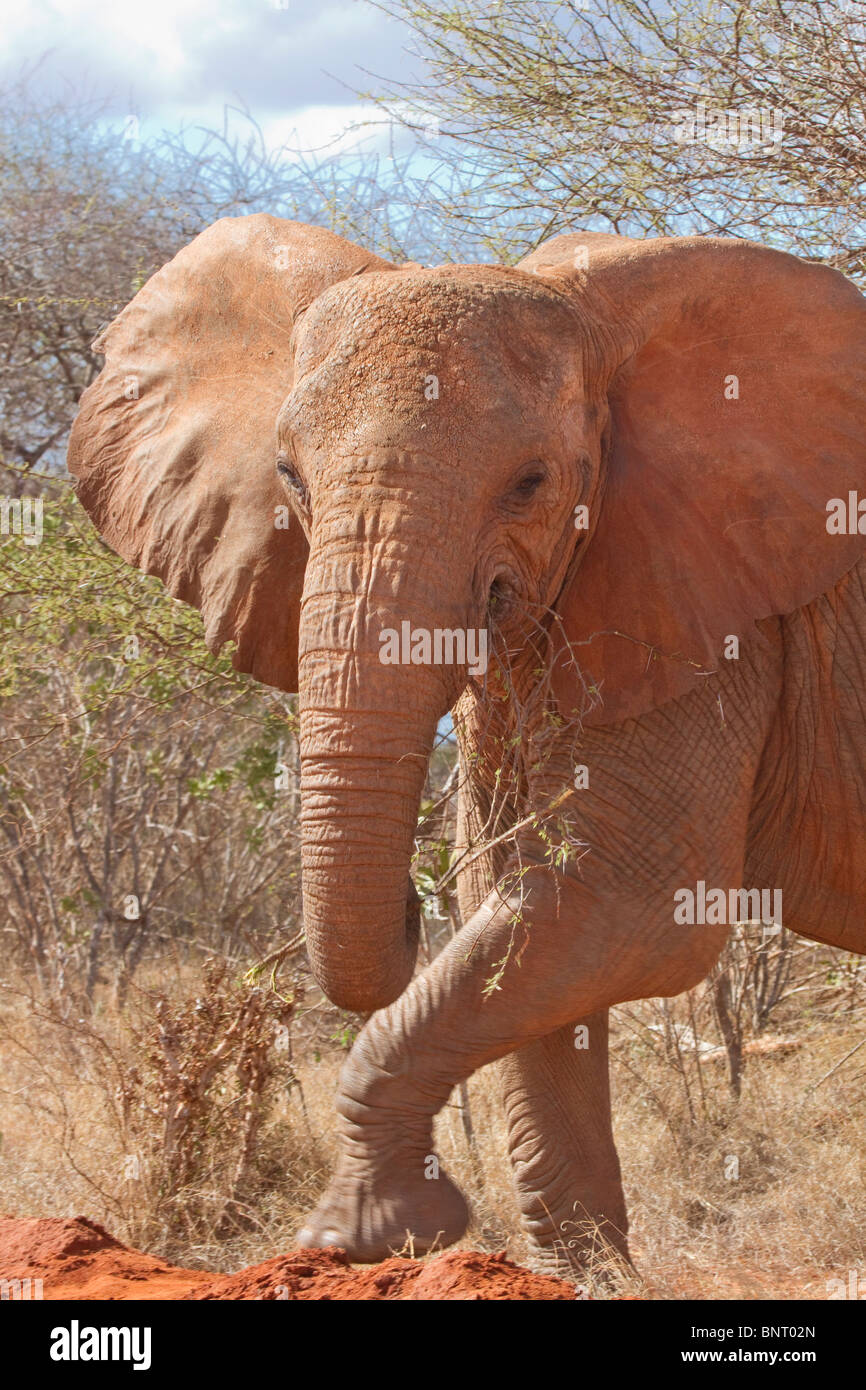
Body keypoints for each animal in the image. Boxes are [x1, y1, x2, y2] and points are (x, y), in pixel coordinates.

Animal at [68, 215, 866, 1275]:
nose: (409, 910)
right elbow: (520, 894)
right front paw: (579, 1274)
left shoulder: (714, 606)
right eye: (288, 478)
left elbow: (629, 904)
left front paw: (363, 1233)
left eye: (531, 484)